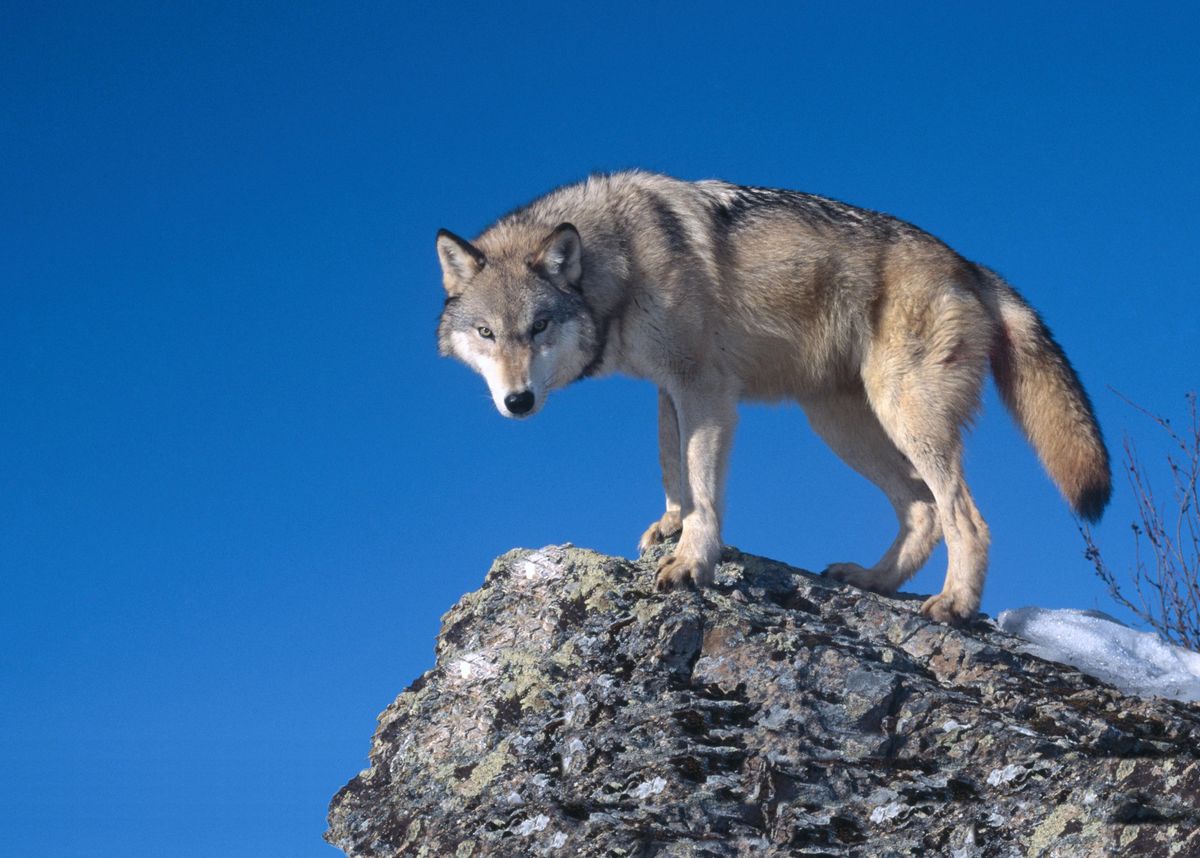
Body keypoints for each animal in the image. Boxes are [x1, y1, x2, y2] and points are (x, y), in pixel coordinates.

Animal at [435, 171, 1110, 624]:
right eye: (487, 333)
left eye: (539, 327)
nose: (518, 402)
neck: (621, 258)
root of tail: (970, 265)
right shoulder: (668, 388)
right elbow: (671, 466)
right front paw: (670, 526)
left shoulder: (706, 391)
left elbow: (703, 488)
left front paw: (692, 561)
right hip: (839, 424)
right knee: (921, 507)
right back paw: (873, 580)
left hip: (904, 414)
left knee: (964, 516)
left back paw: (954, 604)